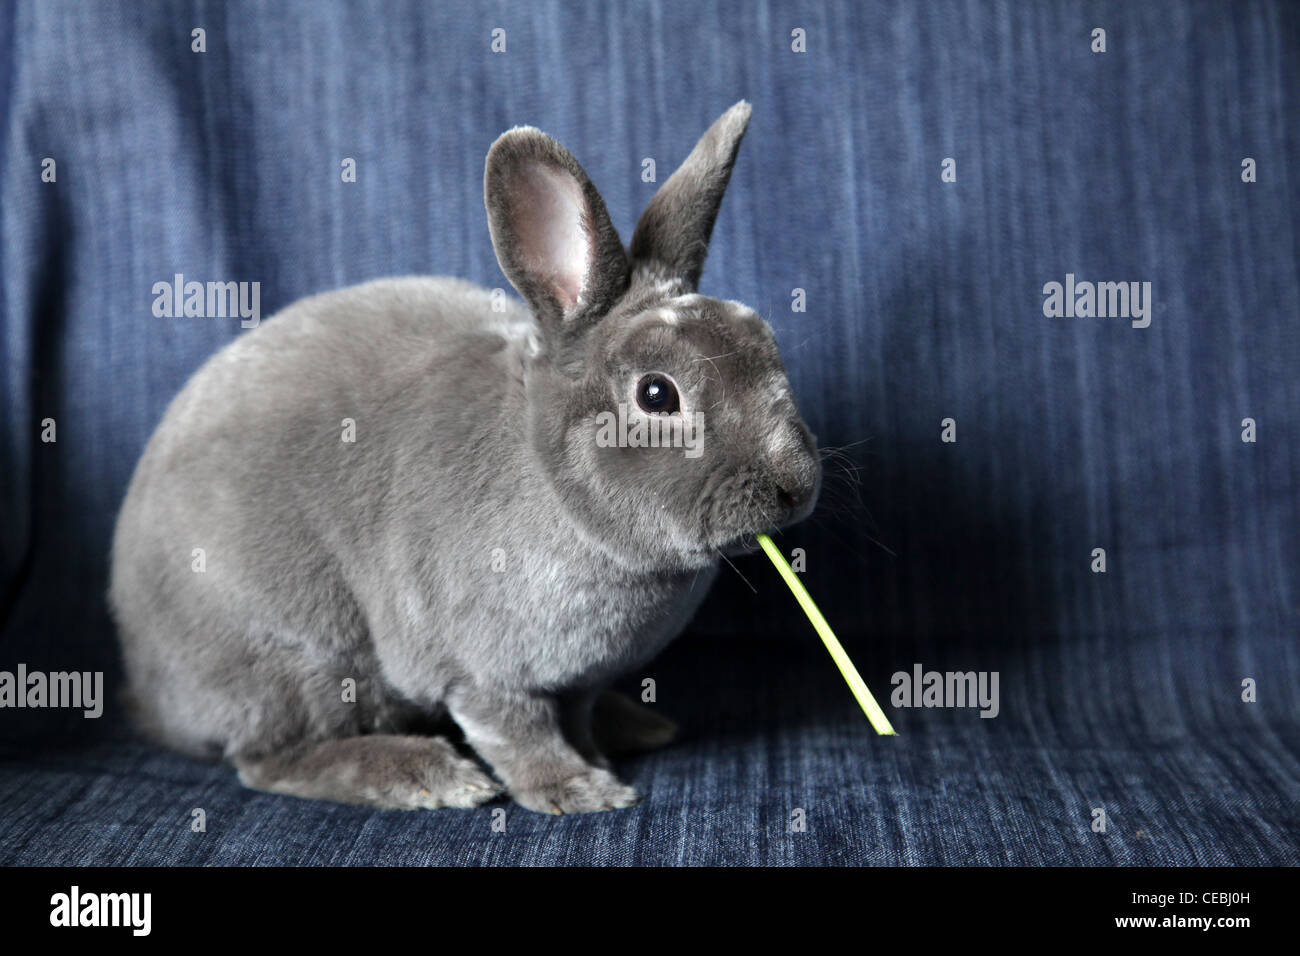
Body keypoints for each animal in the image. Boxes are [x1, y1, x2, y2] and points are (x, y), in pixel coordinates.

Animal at [109, 101, 821, 814]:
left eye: (766, 342)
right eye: (656, 395)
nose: (797, 484)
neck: (548, 479)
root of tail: (150, 690)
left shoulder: (583, 679)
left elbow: (580, 713)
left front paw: (596, 757)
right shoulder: (480, 673)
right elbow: (519, 734)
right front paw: (580, 790)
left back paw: (640, 725)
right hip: (297, 662)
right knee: (272, 760)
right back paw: (426, 774)